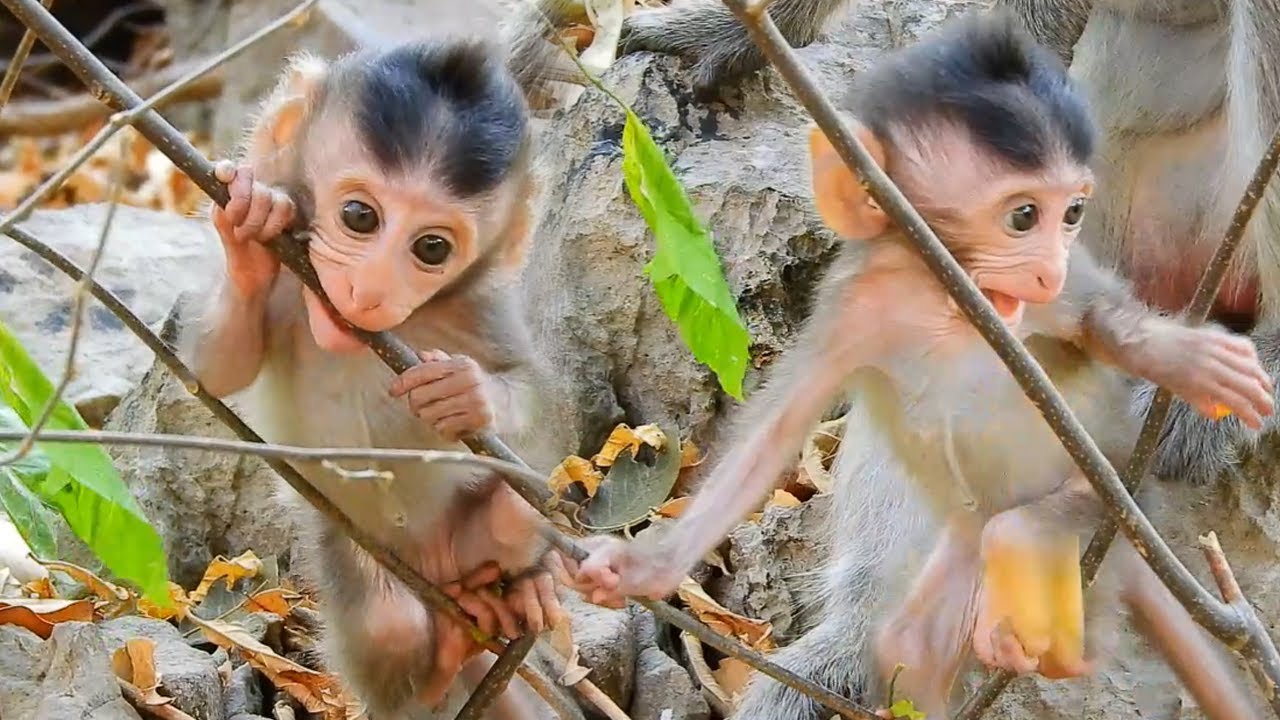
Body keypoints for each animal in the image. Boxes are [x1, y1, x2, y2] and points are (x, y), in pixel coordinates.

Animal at [177, 38, 566, 719]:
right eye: (360, 216)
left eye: (432, 249)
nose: (371, 291)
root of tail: (443, 581)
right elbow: (212, 370)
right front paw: (250, 222)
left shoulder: (480, 307)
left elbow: (542, 399)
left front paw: (467, 394)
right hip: (353, 551)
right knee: (391, 626)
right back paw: (439, 666)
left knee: (523, 504)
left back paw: (523, 591)